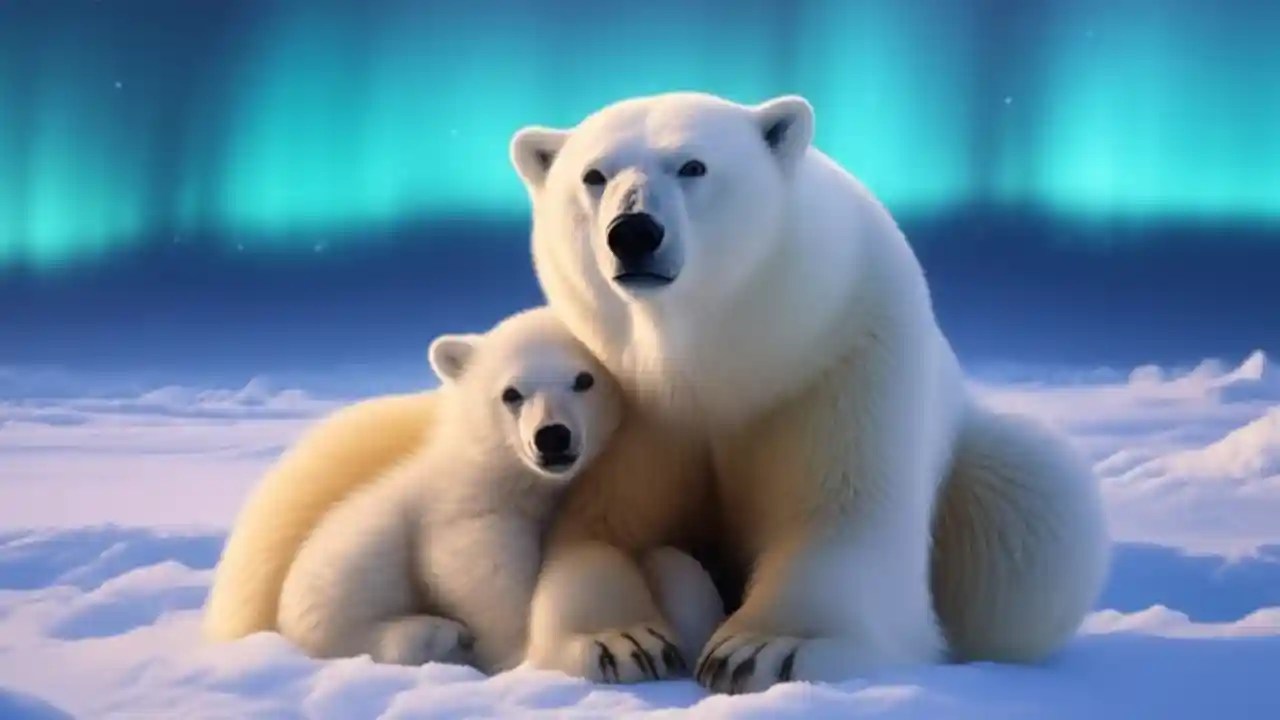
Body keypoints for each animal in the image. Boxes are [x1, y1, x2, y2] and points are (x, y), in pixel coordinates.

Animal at [505, 91, 1111, 692]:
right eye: (593, 175)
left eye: (693, 165)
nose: (633, 232)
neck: (708, 360)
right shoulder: (632, 408)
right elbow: (601, 530)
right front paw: (619, 641)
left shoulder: (840, 358)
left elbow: (840, 512)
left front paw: (766, 647)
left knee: (1033, 509)